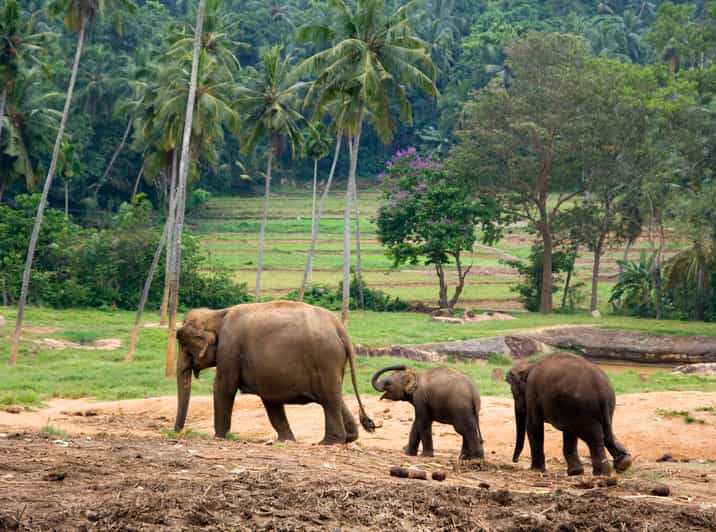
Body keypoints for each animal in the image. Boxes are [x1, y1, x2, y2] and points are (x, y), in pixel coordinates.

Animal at [174, 301, 375, 444]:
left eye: (185, 346)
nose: (176, 432)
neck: (217, 314)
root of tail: (339, 328)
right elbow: (270, 399)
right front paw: (286, 440)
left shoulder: (229, 348)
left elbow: (224, 387)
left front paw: (219, 437)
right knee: (334, 396)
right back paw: (349, 438)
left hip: (325, 360)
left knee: (329, 398)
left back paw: (328, 443)